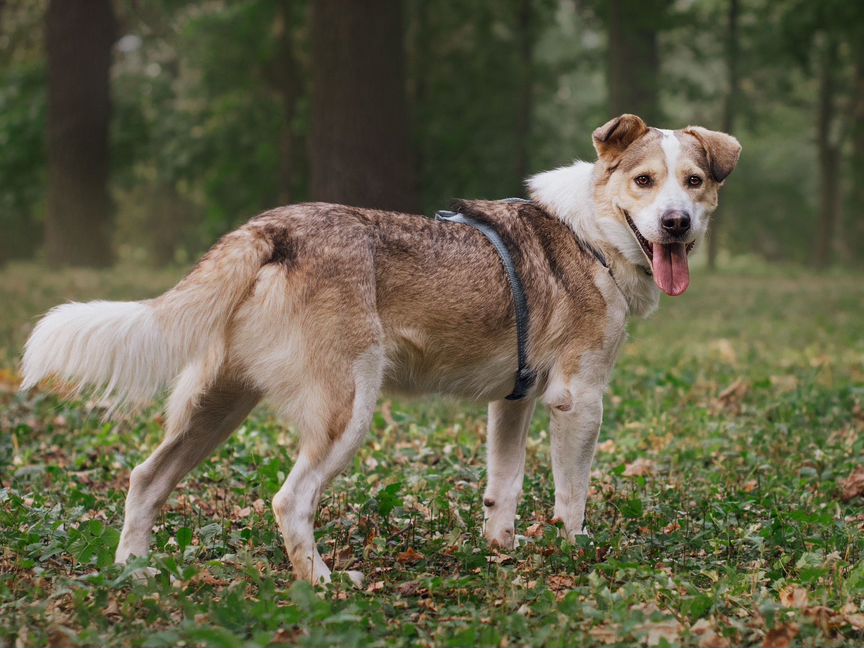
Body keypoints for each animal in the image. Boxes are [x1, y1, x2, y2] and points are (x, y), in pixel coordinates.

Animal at [23, 115, 744, 588]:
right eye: (645, 181)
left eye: (694, 181)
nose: (676, 223)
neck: (592, 230)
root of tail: (272, 228)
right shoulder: (578, 400)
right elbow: (572, 497)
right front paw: (574, 556)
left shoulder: (514, 402)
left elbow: (503, 487)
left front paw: (501, 553)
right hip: (346, 409)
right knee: (289, 501)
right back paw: (322, 583)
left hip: (218, 407)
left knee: (146, 479)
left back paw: (134, 572)